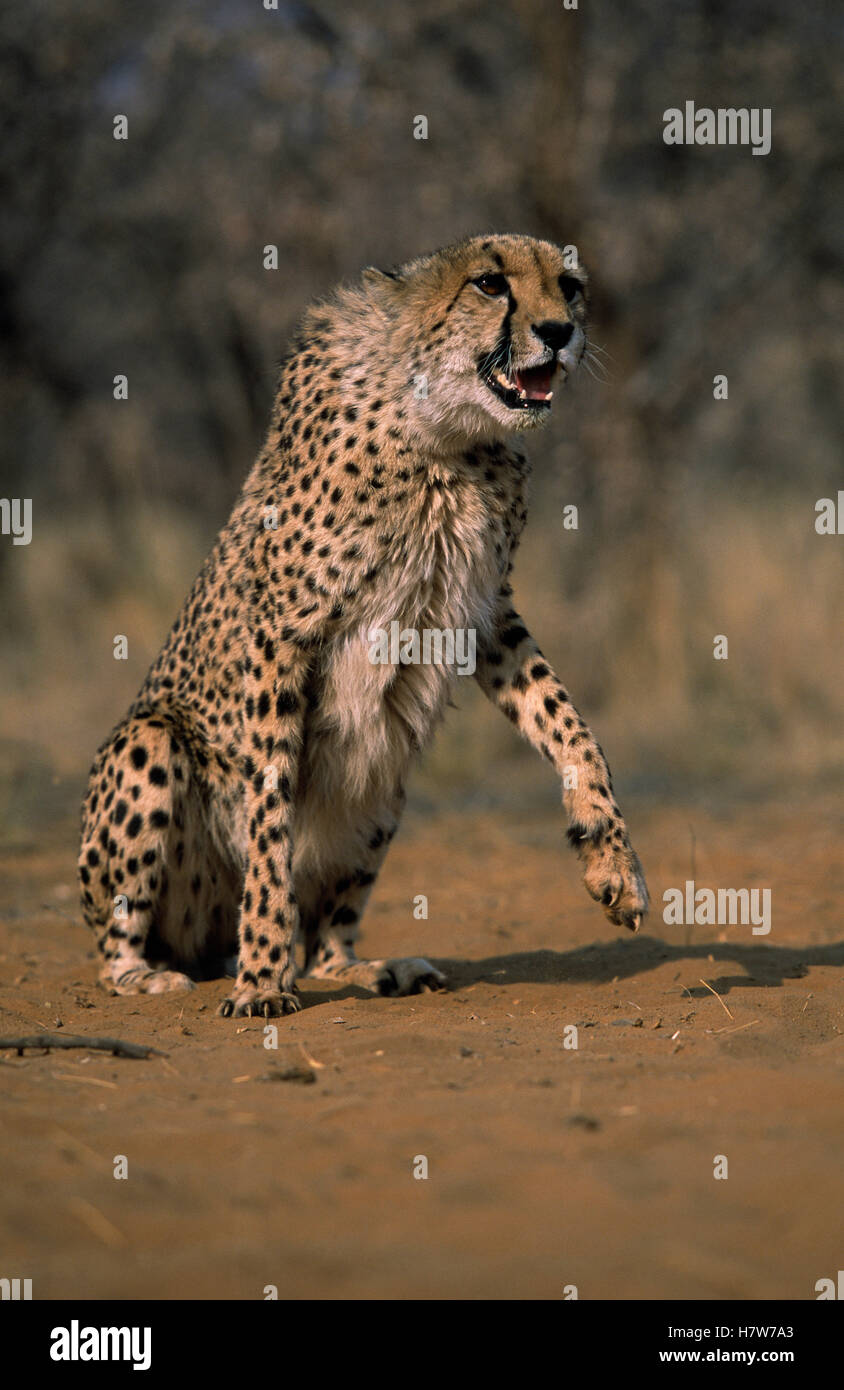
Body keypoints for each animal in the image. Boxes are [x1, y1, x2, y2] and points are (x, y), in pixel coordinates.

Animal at [77, 233, 649, 1019]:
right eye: (490, 284)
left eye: (569, 285)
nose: (560, 332)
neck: (445, 437)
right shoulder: (281, 634)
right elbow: (269, 814)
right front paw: (262, 978)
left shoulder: (485, 613)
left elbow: (567, 721)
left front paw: (612, 859)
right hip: (150, 745)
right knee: (119, 940)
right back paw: (157, 974)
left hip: (381, 787)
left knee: (328, 936)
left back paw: (366, 968)